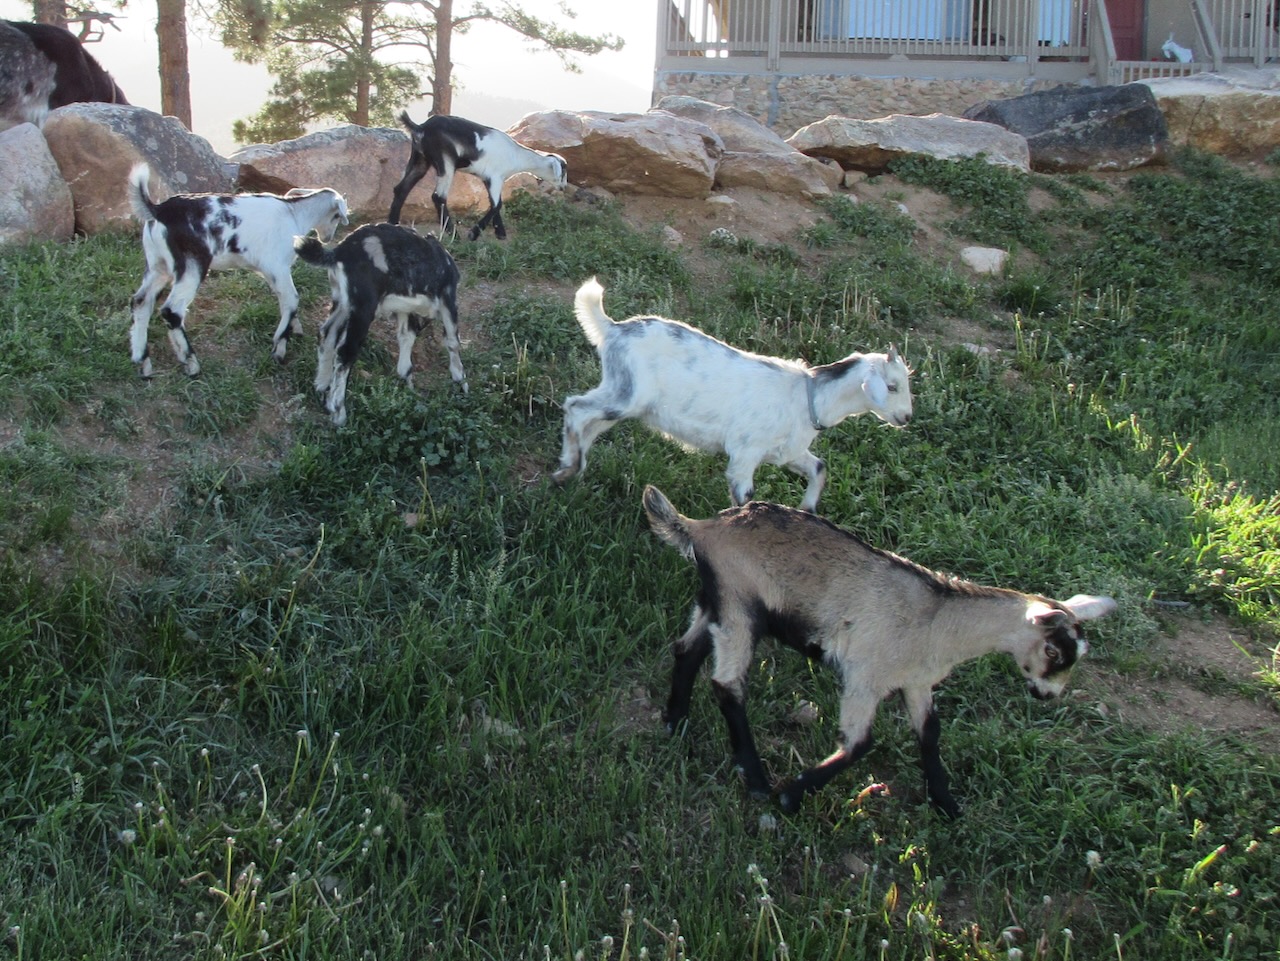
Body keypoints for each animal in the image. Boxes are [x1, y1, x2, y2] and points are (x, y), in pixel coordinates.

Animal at [127, 163, 349, 378]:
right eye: (337, 216)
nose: (327, 238)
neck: (294, 213)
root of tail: (157, 211)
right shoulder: (277, 266)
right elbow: (292, 300)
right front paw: (279, 349)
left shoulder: (274, 272)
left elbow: (285, 300)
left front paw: (295, 329)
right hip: (191, 265)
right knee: (171, 311)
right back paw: (191, 364)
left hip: (157, 265)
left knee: (141, 302)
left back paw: (143, 364)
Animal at [295, 222, 467, 427]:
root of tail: (339, 252)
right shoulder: (448, 298)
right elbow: (453, 341)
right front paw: (461, 382)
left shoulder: (405, 308)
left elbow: (406, 336)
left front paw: (408, 384)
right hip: (363, 308)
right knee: (345, 352)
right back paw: (338, 411)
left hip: (343, 303)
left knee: (326, 334)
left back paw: (321, 386)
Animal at [387, 111, 568, 240]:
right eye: (563, 171)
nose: (563, 187)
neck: (516, 155)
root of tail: (421, 128)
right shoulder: (495, 177)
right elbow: (497, 205)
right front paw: (474, 234)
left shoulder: (487, 179)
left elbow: (496, 203)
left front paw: (500, 233)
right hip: (446, 161)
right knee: (438, 197)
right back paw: (454, 235)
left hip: (420, 159)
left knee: (401, 189)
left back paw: (393, 224)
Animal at [553, 278, 913, 513]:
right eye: (892, 385)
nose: (907, 417)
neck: (808, 397)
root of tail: (614, 329)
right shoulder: (745, 453)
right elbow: (746, 496)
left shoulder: (788, 452)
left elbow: (820, 468)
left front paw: (808, 508)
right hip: (627, 394)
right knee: (576, 408)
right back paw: (569, 469)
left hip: (621, 395)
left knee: (589, 423)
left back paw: (573, 469)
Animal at [642, 485, 1116, 817]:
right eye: (1055, 652)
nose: (1048, 695)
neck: (938, 619)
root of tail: (702, 528)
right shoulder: (865, 677)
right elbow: (859, 744)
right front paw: (792, 796)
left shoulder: (916, 682)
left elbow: (929, 733)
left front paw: (946, 804)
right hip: (741, 605)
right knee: (728, 685)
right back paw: (757, 779)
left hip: (716, 602)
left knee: (686, 650)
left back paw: (675, 719)